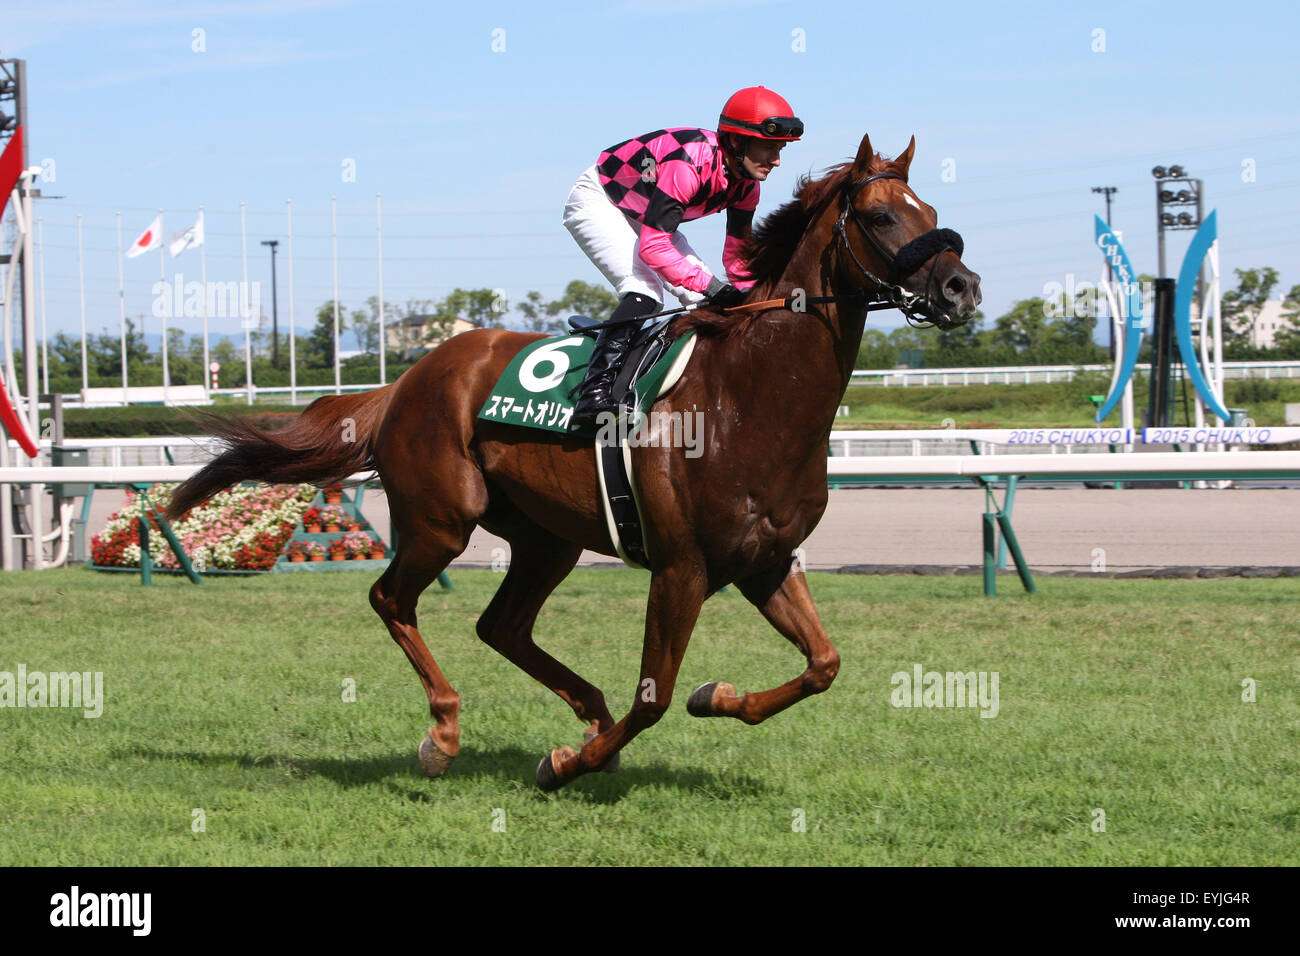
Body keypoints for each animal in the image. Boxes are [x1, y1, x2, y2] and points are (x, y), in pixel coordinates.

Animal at [166, 132, 981, 791]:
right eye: (881, 217)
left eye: (930, 206)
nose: (961, 286)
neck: (750, 396)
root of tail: (407, 379)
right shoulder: (682, 567)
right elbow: (654, 698)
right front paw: (564, 765)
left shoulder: (767, 561)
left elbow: (823, 664)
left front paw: (714, 697)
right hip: (443, 518)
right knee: (391, 599)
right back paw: (444, 734)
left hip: (545, 536)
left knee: (502, 626)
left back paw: (583, 710)